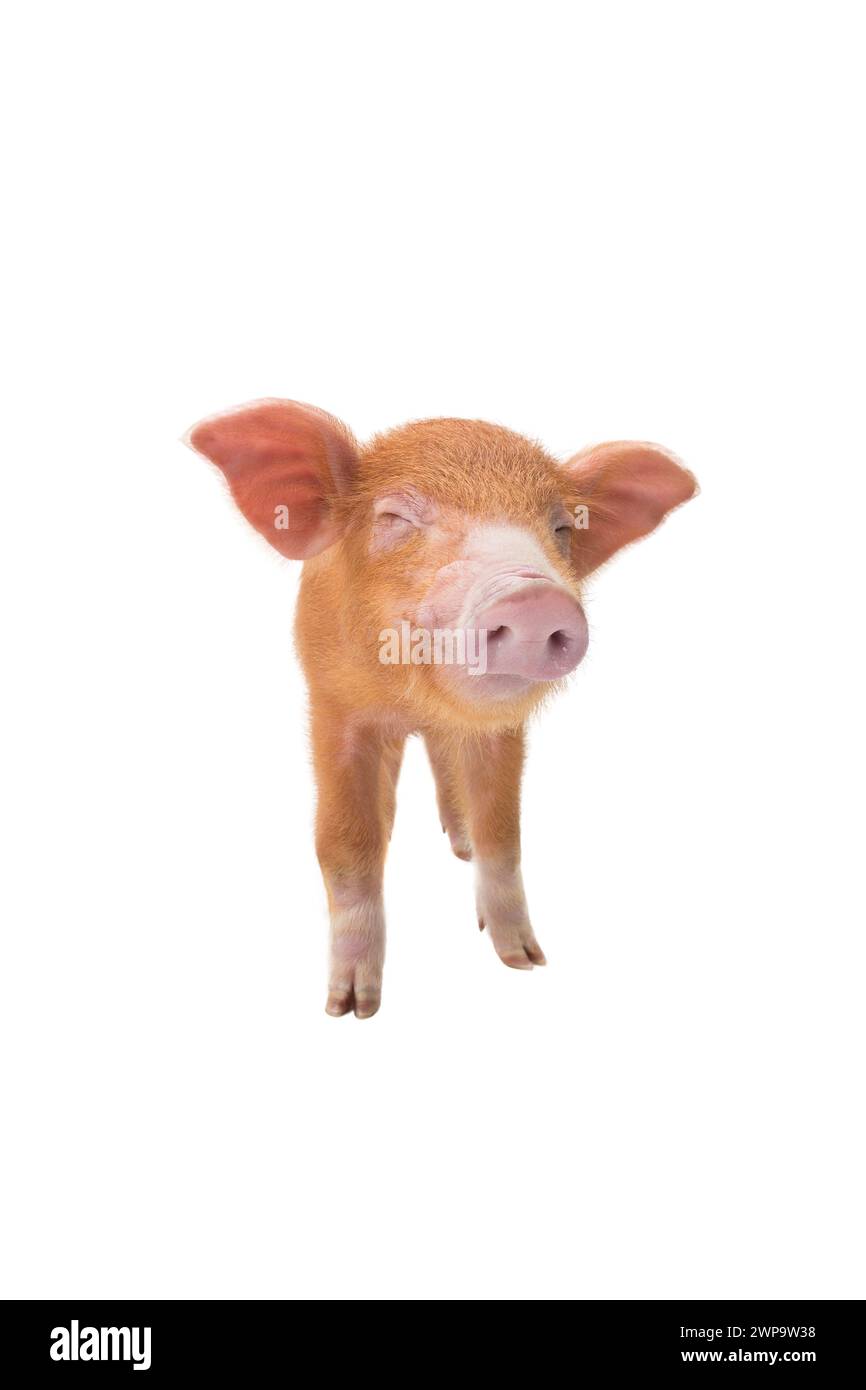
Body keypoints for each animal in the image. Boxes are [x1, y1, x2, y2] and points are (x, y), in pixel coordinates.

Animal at [186, 400, 697, 1018]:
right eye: (395, 517)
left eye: (562, 529)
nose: (531, 595)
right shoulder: (334, 709)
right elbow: (346, 842)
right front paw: (351, 1006)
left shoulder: (500, 730)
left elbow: (502, 831)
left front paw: (525, 960)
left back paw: (460, 844)